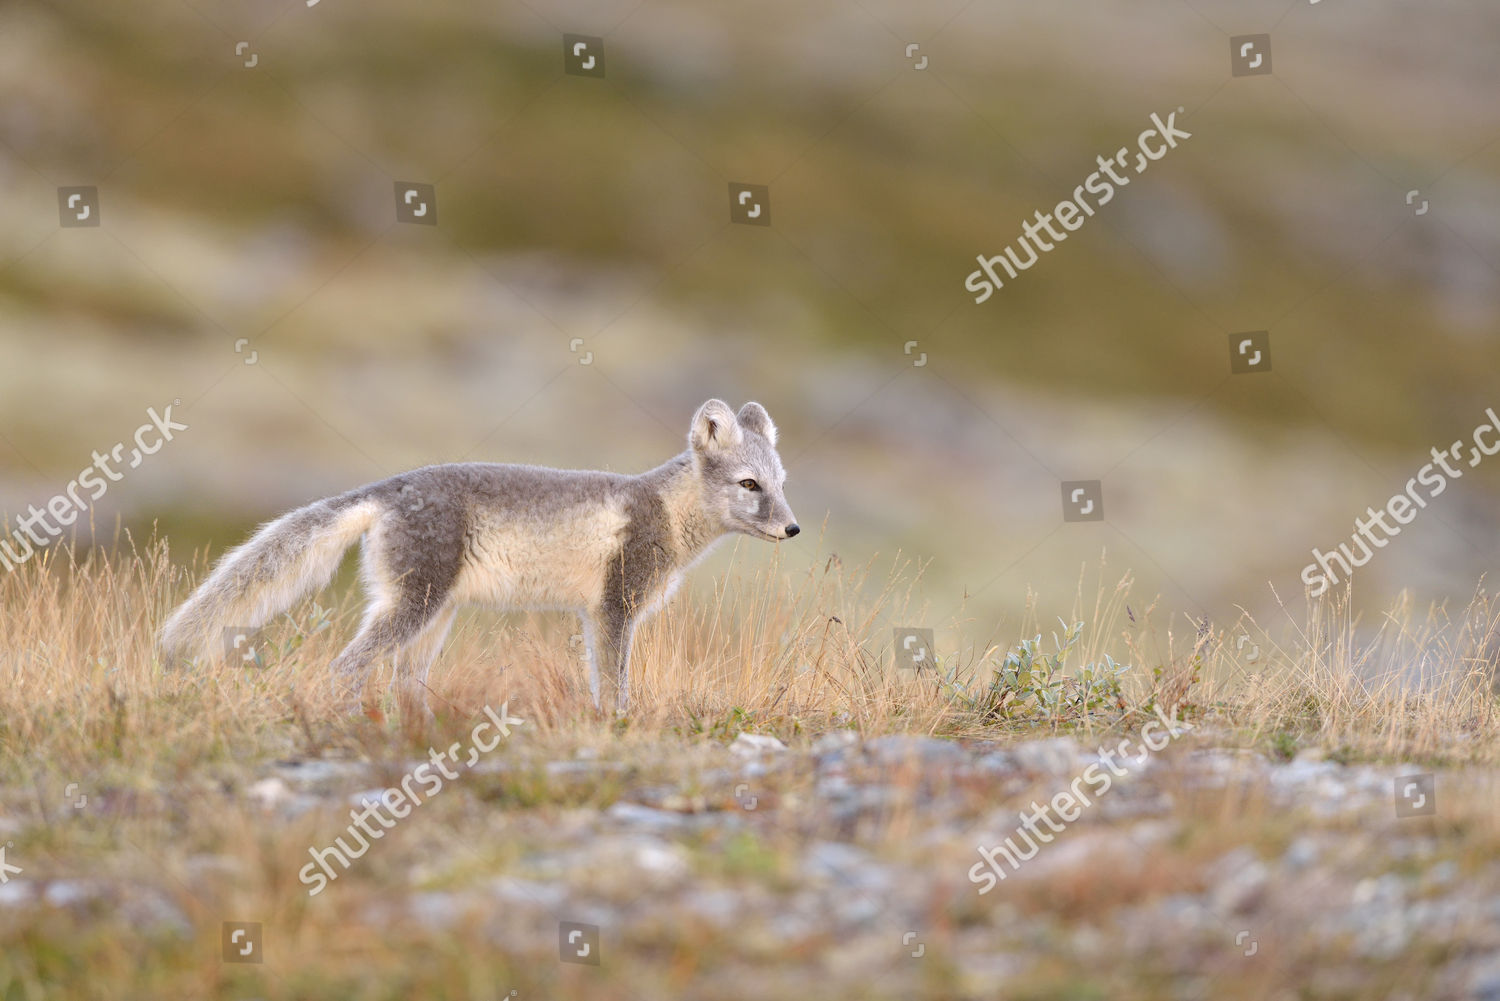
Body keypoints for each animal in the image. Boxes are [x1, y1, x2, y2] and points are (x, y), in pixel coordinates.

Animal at [159, 399, 799, 717]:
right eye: (748, 485)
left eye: (780, 483)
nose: (792, 528)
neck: (666, 510)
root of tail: (389, 487)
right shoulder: (613, 609)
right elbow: (614, 683)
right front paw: (620, 725)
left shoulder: (598, 613)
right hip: (414, 609)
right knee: (346, 667)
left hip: (433, 617)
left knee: (402, 683)